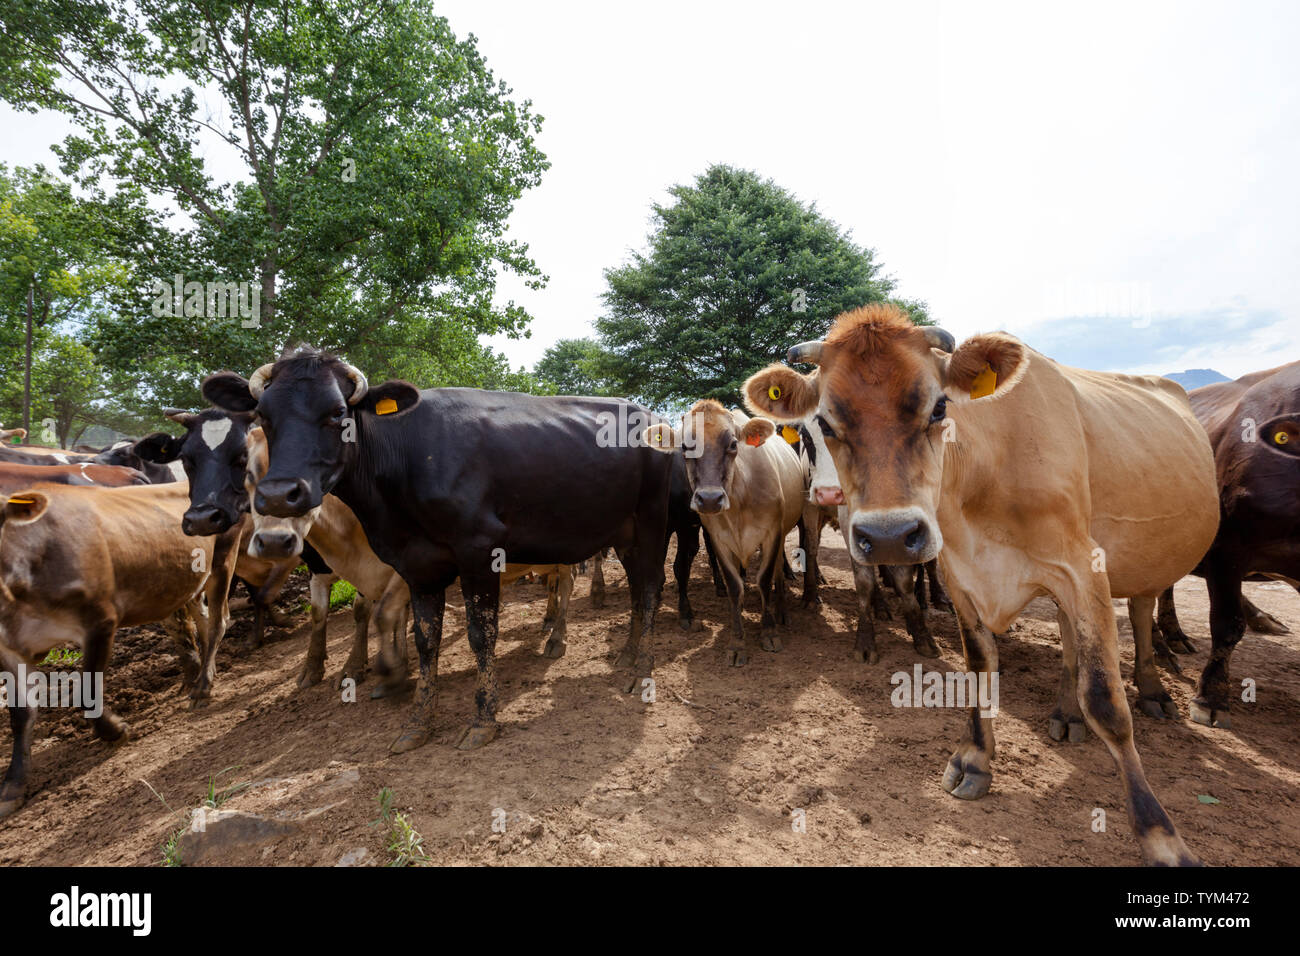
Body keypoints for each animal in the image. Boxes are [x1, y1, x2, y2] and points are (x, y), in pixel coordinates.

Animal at [0, 481, 243, 818]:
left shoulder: (100, 620)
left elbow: (88, 689)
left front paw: (115, 730)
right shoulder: (9, 647)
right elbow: (21, 715)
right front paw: (13, 787)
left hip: (223, 559)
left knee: (220, 620)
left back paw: (203, 687)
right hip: (191, 580)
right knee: (204, 620)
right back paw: (204, 674)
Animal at [203, 348, 674, 754]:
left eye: (337, 413)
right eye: (263, 415)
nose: (280, 494)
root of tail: (651, 414)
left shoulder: (480, 551)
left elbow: (482, 634)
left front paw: (483, 720)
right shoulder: (417, 566)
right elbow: (425, 639)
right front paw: (417, 723)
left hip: (652, 521)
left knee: (651, 588)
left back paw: (641, 672)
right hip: (624, 533)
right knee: (636, 590)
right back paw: (629, 654)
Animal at [643, 401, 803, 665]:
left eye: (733, 444)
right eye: (685, 447)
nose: (709, 499)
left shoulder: (771, 534)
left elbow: (764, 579)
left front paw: (769, 631)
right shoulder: (719, 539)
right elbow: (734, 586)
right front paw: (737, 642)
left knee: (779, 571)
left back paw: (782, 610)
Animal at [742, 303, 1219, 865]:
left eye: (938, 408)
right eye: (826, 422)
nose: (889, 535)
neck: (987, 474)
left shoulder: (1084, 569)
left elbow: (1106, 699)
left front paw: (1160, 834)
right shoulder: (958, 574)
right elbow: (977, 666)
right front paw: (975, 759)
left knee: (1142, 612)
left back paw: (1152, 691)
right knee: (1069, 640)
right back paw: (1067, 713)